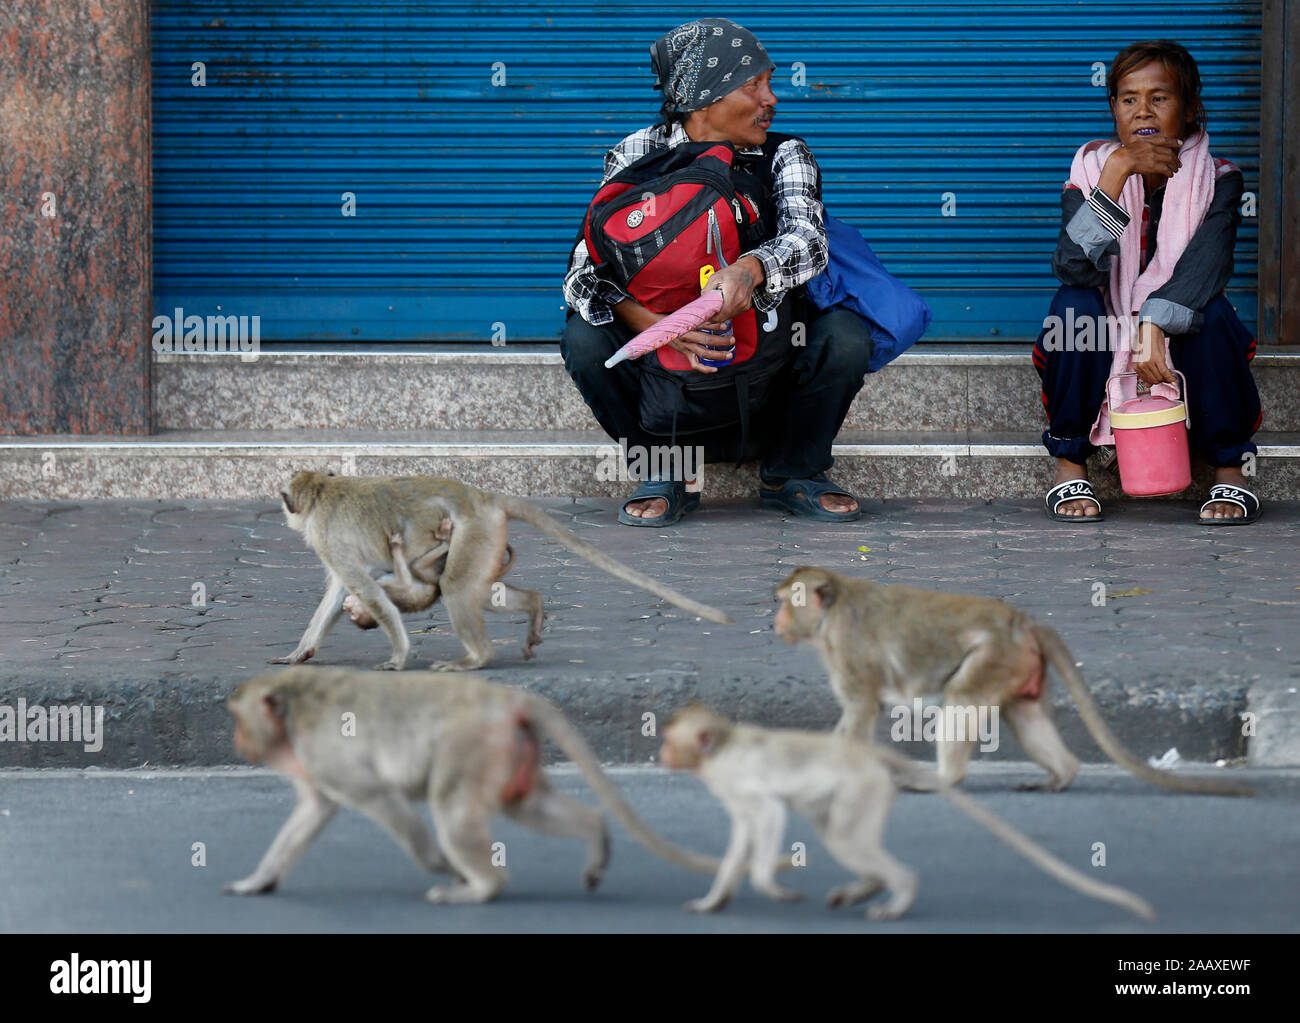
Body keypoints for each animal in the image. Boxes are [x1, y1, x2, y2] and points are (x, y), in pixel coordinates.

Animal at [224, 666, 721, 902]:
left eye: (238, 719)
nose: (236, 739)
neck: (294, 701)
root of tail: (507, 697)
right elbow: (314, 810)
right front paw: (258, 881)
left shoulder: (322, 750)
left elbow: (379, 798)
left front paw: (443, 865)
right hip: (509, 750)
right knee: (526, 804)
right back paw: (595, 834)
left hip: (472, 745)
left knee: (451, 806)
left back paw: (481, 886)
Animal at [271, 471, 734, 671]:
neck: (324, 491)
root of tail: (482, 498)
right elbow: (340, 595)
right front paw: (299, 653)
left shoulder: (329, 539)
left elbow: (367, 593)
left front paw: (399, 657)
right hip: (486, 538)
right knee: (474, 589)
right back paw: (532, 607)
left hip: (474, 533)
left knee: (456, 589)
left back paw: (477, 658)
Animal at [660, 705, 1156, 921]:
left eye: (668, 740)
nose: (663, 753)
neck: (722, 745)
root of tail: (870, 757)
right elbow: (744, 834)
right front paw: (713, 900)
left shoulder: (735, 776)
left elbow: (767, 816)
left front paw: (768, 884)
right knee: (837, 832)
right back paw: (867, 889)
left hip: (863, 791)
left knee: (844, 839)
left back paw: (897, 895)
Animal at [772, 566, 1252, 797]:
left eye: (785, 601)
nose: (775, 620)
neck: (832, 611)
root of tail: (1023, 622)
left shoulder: (847, 652)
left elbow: (860, 712)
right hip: (1015, 667)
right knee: (1024, 715)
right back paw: (1061, 774)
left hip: (992, 657)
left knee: (961, 701)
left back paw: (944, 779)